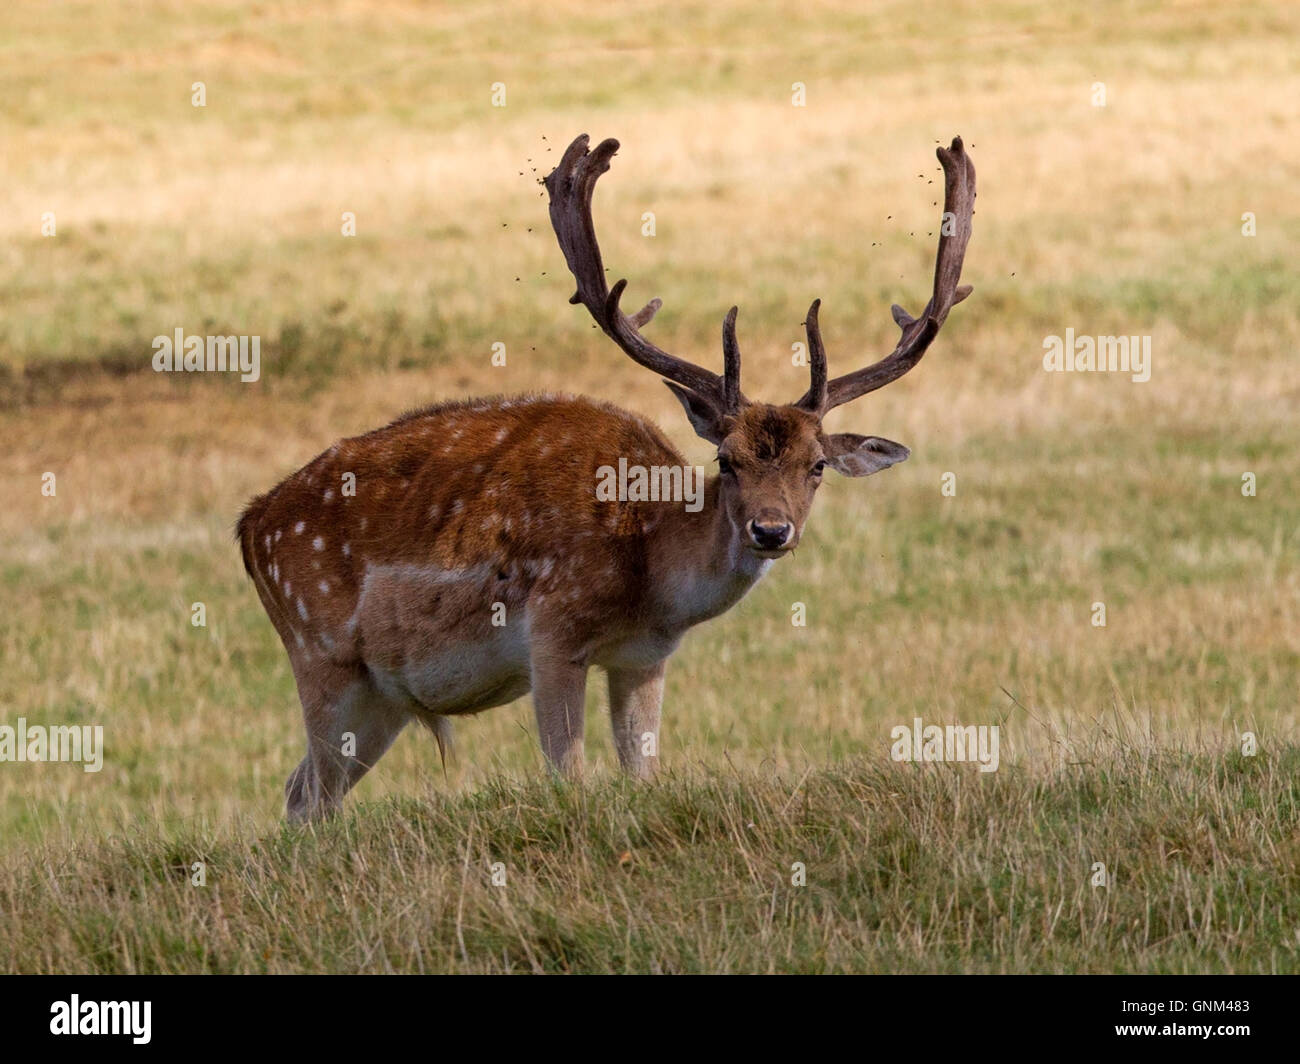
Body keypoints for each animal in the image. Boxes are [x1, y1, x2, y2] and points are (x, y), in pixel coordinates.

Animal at [237, 133, 975, 821]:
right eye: (726, 459)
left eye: (816, 464)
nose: (771, 529)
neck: (648, 574)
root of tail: (249, 525)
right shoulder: (552, 631)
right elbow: (569, 777)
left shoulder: (645, 656)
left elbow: (642, 773)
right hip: (320, 655)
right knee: (310, 792)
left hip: (380, 697)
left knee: (303, 789)